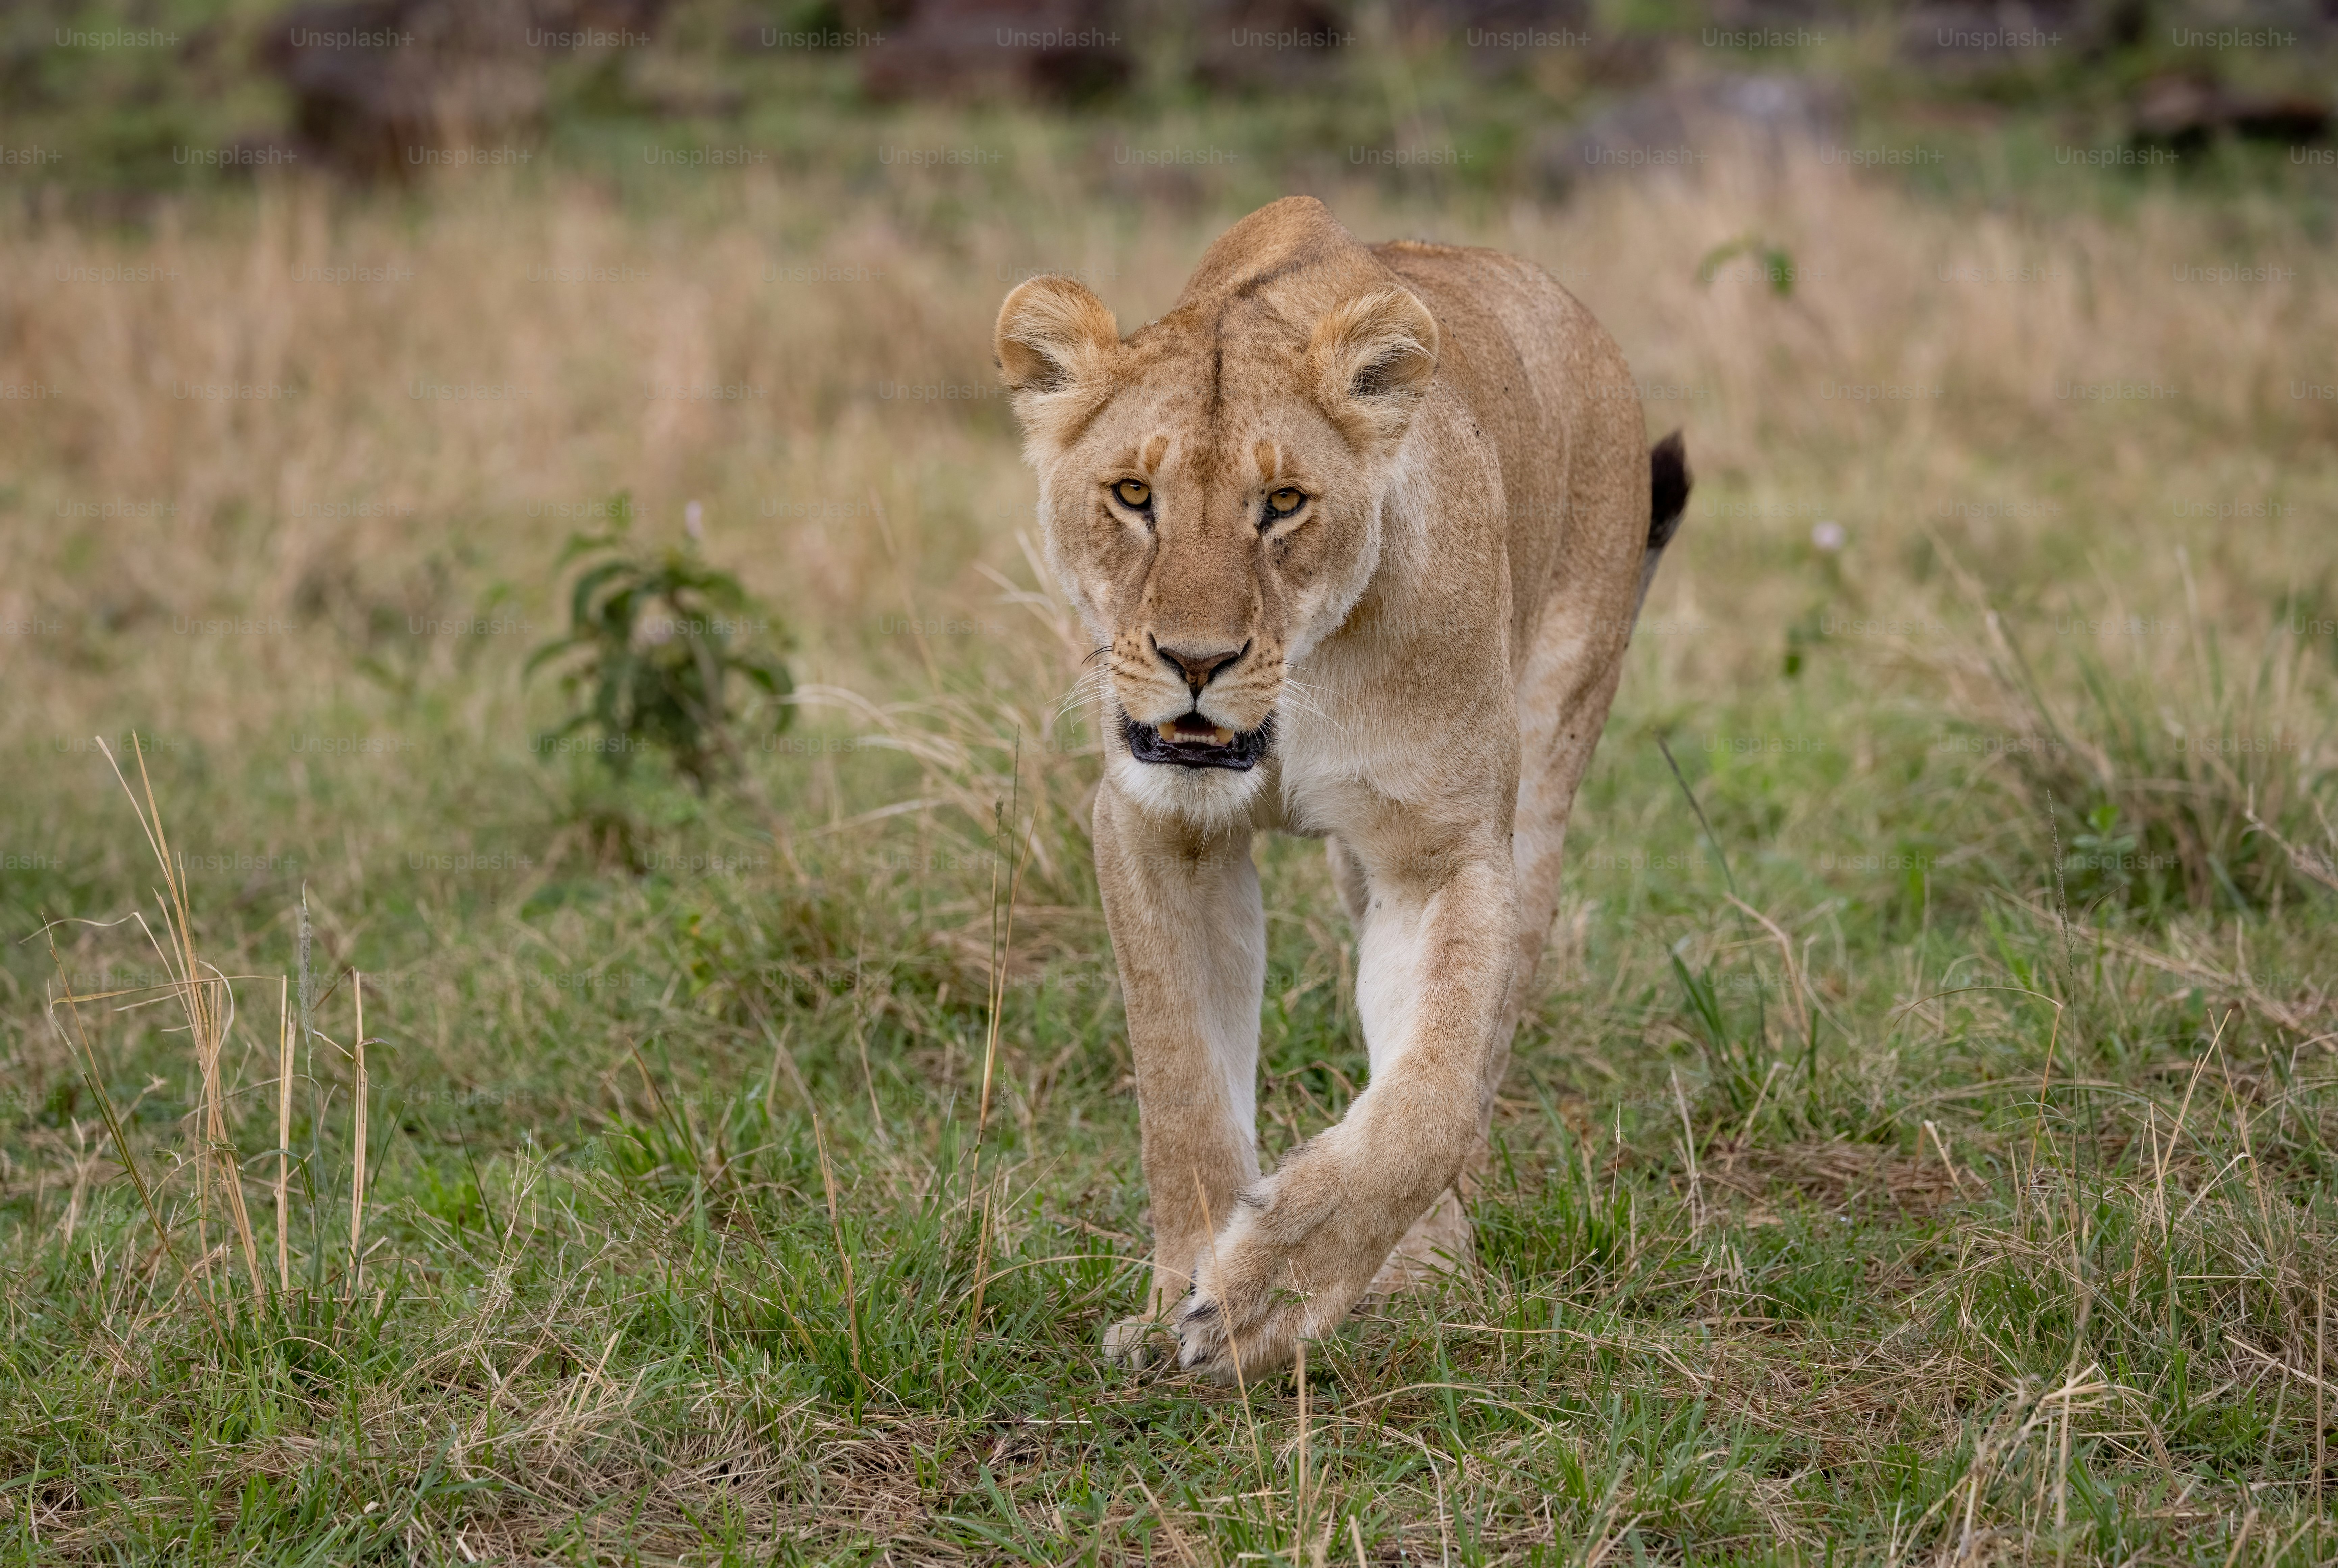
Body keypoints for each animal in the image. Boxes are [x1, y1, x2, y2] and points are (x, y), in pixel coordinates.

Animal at [995, 196, 1690, 1381]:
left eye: (1282, 504)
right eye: (1132, 495)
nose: (1195, 661)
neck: (1299, 686)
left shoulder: (1442, 850)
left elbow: (1430, 1095)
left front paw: (1271, 1293)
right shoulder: (1153, 824)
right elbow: (1180, 1081)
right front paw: (1180, 1295)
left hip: (1549, 761)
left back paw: (1425, 1261)